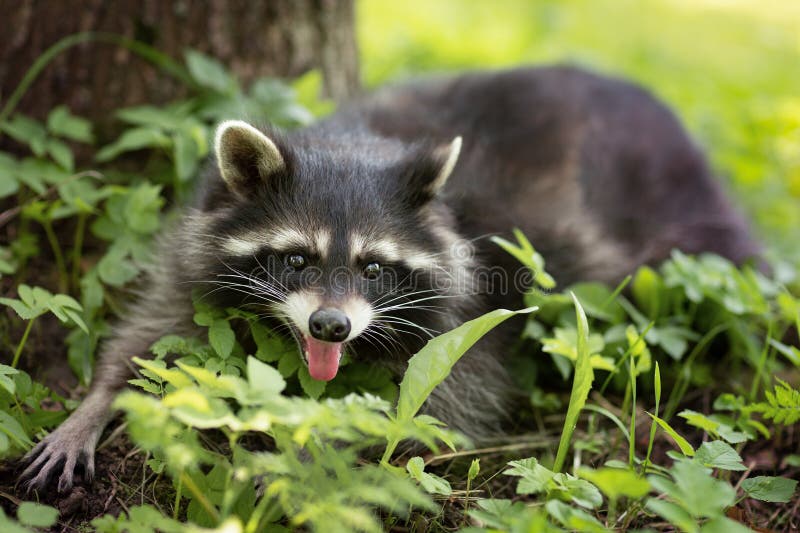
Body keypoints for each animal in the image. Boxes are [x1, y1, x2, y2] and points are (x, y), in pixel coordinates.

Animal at [19, 65, 757, 493]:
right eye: (297, 260)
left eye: (374, 268)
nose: (329, 325)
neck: (352, 143)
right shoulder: (195, 244)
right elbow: (153, 328)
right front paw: (93, 403)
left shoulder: (474, 306)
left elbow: (432, 409)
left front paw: (314, 453)